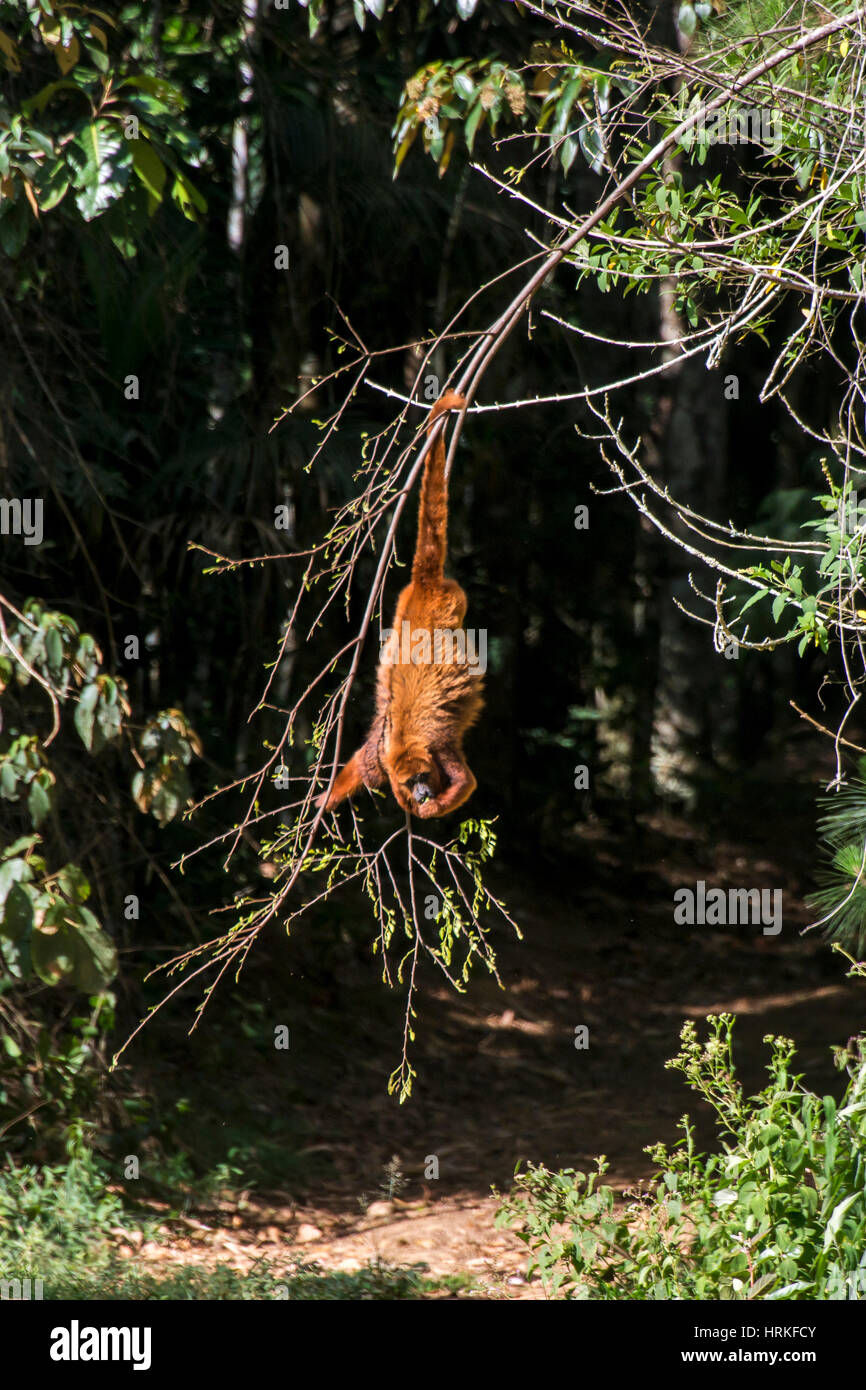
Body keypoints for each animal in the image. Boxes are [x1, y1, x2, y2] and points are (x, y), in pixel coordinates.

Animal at [318, 390, 483, 819]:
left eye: (423, 777)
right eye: (412, 781)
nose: (421, 792)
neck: (405, 743)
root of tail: (423, 587)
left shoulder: (438, 748)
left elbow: (465, 781)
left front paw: (426, 809)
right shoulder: (380, 753)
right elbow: (361, 767)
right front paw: (323, 800)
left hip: (454, 598)